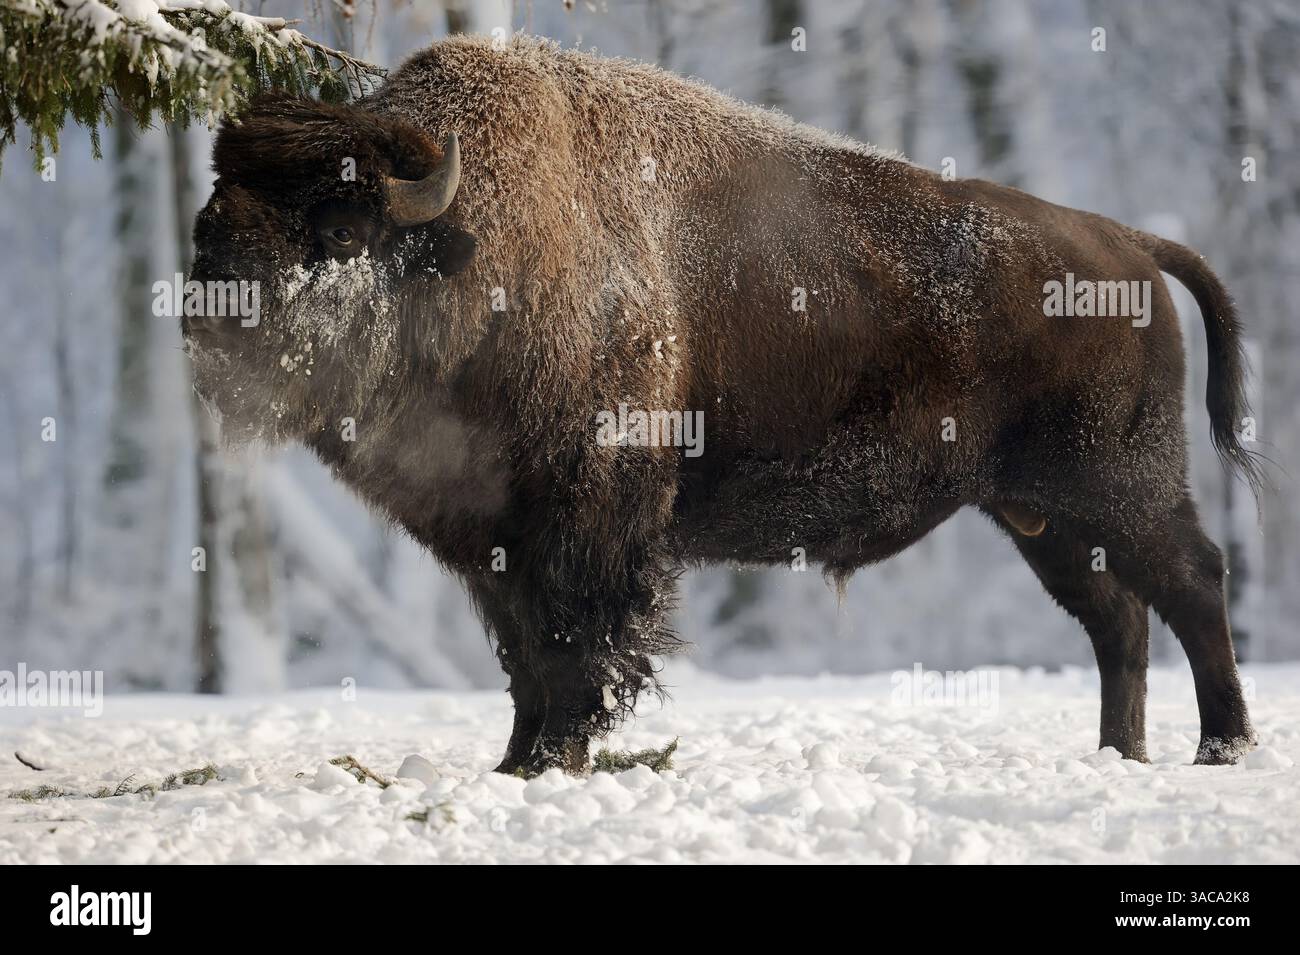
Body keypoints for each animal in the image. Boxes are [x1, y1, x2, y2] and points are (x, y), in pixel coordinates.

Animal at [184, 35, 1260, 775]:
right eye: (213, 214)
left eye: (338, 224)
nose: (209, 314)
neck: (478, 247)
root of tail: (1128, 243)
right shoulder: (498, 539)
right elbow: (522, 653)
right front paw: (514, 762)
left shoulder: (587, 520)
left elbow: (571, 647)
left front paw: (551, 761)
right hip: (1039, 515)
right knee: (1118, 620)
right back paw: (1120, 754)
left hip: (1117, 488)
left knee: (1193, 584)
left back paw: (1220, 748)